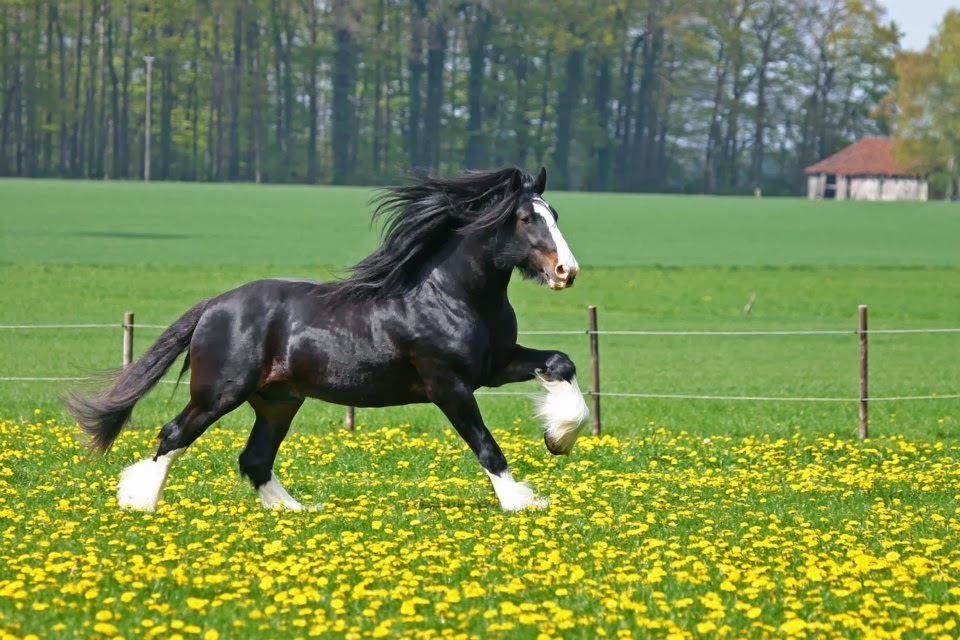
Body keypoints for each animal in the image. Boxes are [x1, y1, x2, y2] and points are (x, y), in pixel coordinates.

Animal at [63, 166, 589, 513]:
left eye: (555, 213)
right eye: (525, 219)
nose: (567, 271)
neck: (450, 294)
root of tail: (214, 305)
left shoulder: (495, 366)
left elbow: (561, 363)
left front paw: (558, 438)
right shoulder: (448, 384)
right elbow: (485, 444)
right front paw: (521, 501)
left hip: (278, 400)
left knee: (254, 458)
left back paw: (296, 511)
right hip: (219, 393)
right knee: (173, 435)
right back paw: (138, 501)